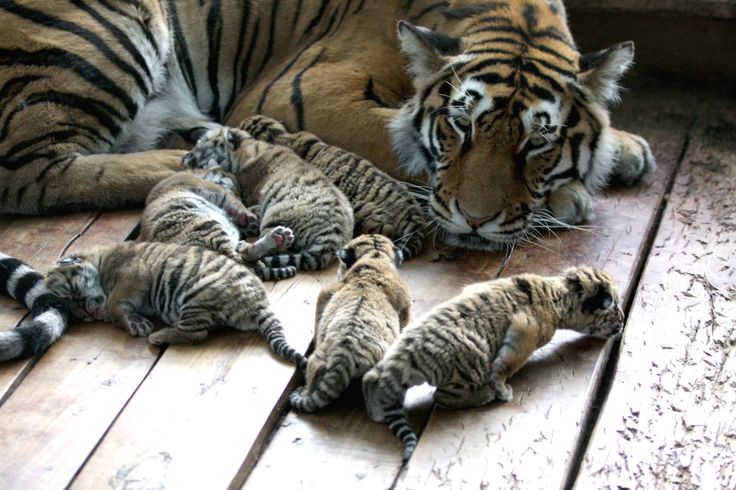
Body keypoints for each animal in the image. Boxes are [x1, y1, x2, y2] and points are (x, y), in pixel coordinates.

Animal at [43, 241, 307, 369]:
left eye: (72, 293)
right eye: (72, 311)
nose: (86, 314)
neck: (99, 259)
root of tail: (259, 301)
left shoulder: (132, 274)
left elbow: (115, 303)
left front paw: (132, 322)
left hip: (196, 293)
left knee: (198, 334)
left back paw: (158, 336)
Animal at [140, 167, 298, 281]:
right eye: (238, 187)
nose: (242, 194)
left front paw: (254, 213)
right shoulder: (215, 189)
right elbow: (235, 202)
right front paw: (250, 216)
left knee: (244, 254)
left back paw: (278, 239)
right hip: (206, 227)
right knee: (241, 262)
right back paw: (275, 240)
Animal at [182, 127, 354, 271]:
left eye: (201, 146)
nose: (185, 158)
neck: (245, 146)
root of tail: (334, 236)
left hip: (275, 216)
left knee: (263, 251)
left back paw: (252, 245)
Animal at [361, 266, 624, 461]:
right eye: (615, 306)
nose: (622, 321)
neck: (559, 292)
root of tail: (403, 358)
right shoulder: (525, 330)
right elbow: (507, 364)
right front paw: (503, 389)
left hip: (387, 357)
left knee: (370, 378)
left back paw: (375, 411)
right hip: (471, 363)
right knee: (441, 397)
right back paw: (485, 394)